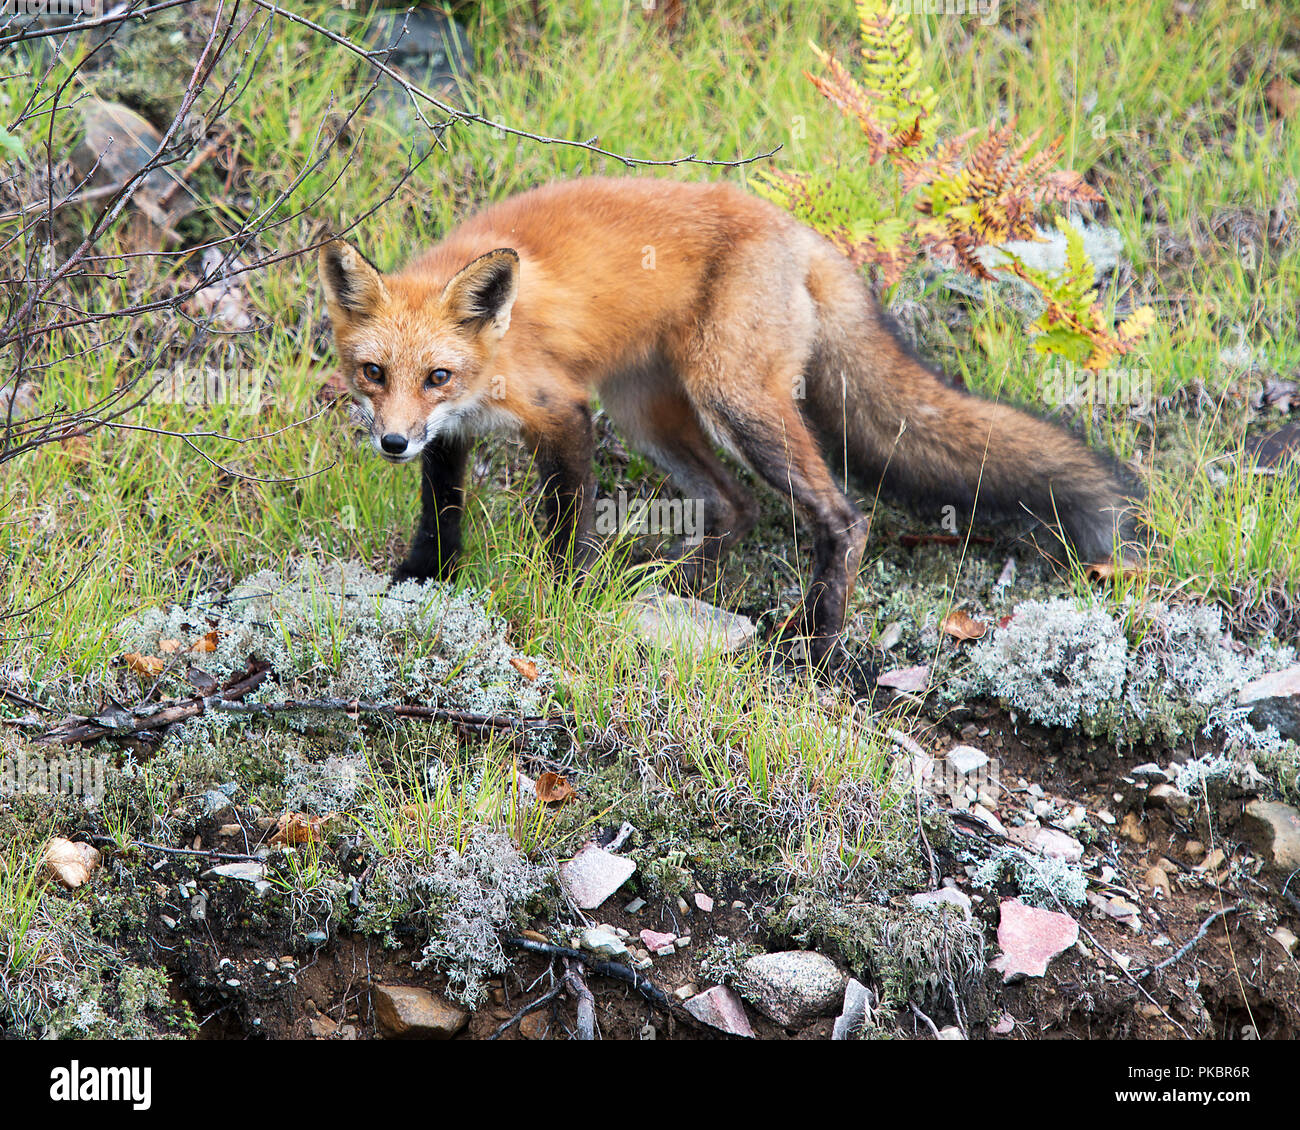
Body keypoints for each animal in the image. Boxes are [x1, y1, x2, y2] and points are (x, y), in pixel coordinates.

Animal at [319, 176, 1134, 669]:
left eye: (437, 376)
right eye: (374, 373)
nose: (392, 441)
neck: (494, 352)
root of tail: (796, 229)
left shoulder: (562, 412)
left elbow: (563, 531)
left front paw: (559, 604)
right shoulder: (451, 436)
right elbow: (440, 513)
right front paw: (423, 580)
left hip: (731, 399)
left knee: (844, 517)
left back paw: (814, 640)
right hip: (648, 414)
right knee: (733, 504)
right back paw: (673, 582)